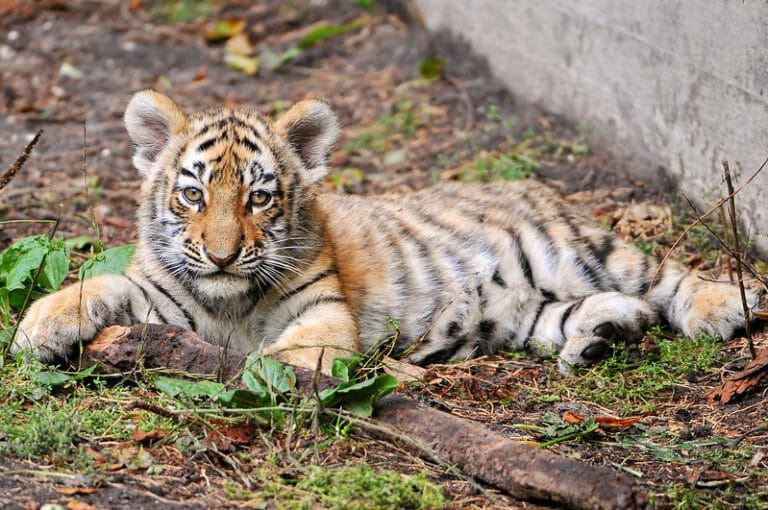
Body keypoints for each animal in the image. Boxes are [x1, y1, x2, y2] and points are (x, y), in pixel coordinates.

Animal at [11, 90, 761, 375]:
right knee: (600, 311)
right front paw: (38, 328)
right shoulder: (161, 297)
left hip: (575, 248)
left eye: (259, 198)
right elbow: (96, 282)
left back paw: (724, 307)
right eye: (193, 194)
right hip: (523, 314)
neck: (226, 303)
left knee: (664, 277)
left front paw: (264, 371)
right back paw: (599, 338)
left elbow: (291, 352)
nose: (222, 256)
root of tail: (535, 184)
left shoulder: (321, 310)